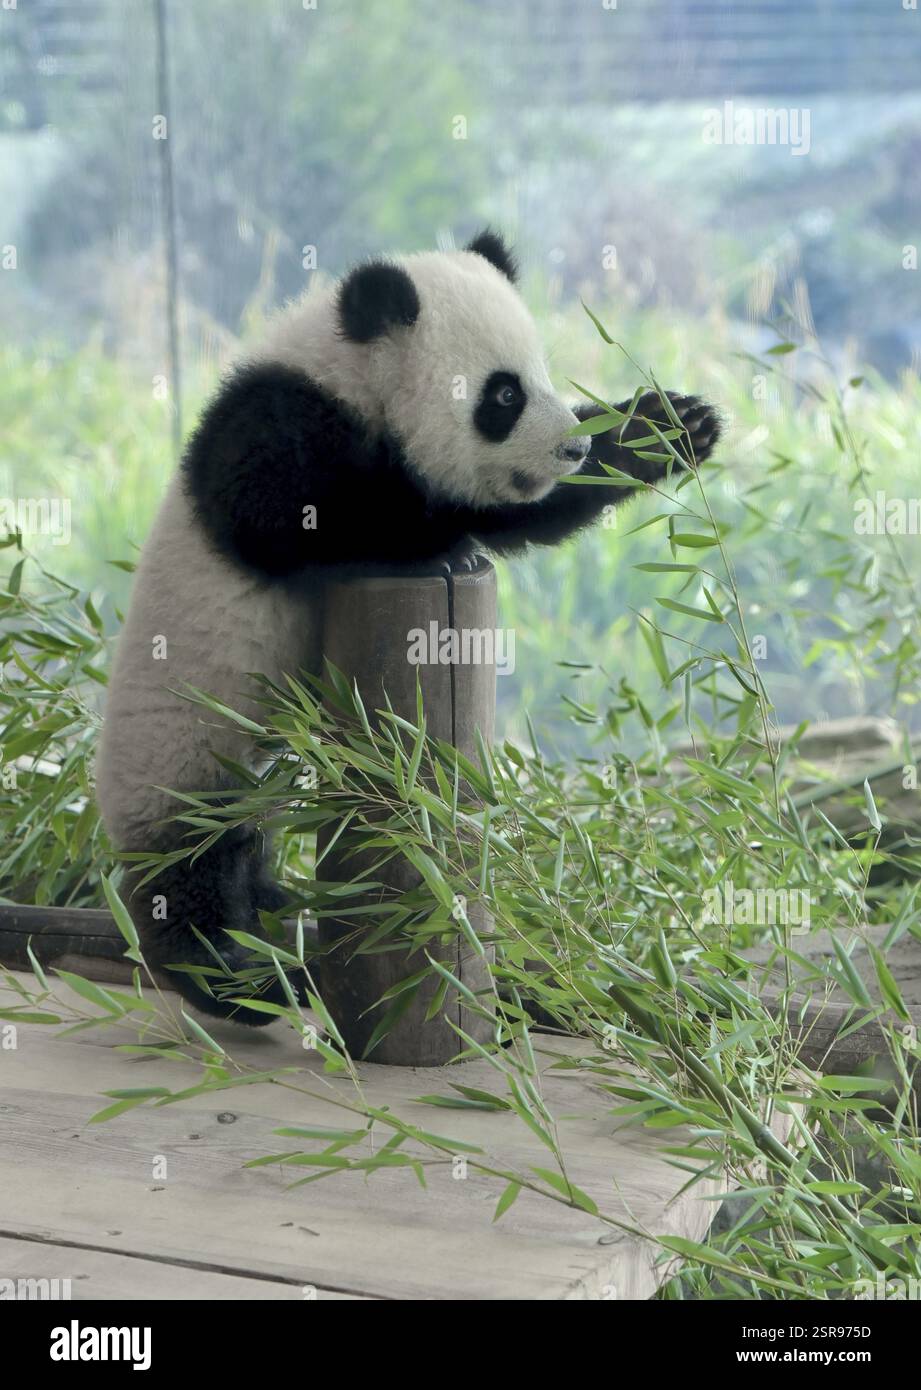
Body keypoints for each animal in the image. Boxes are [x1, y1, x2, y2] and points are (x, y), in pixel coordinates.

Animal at [96, 230, 721, 1023]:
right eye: (504, 395)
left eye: (543, 375)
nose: (571, 449)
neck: (348, 370)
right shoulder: (279, 418)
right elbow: (294, 514)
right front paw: (445, 536)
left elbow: (525, 510)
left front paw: (667, 426)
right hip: (183, 763)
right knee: (194, 876)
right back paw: (241, 977)